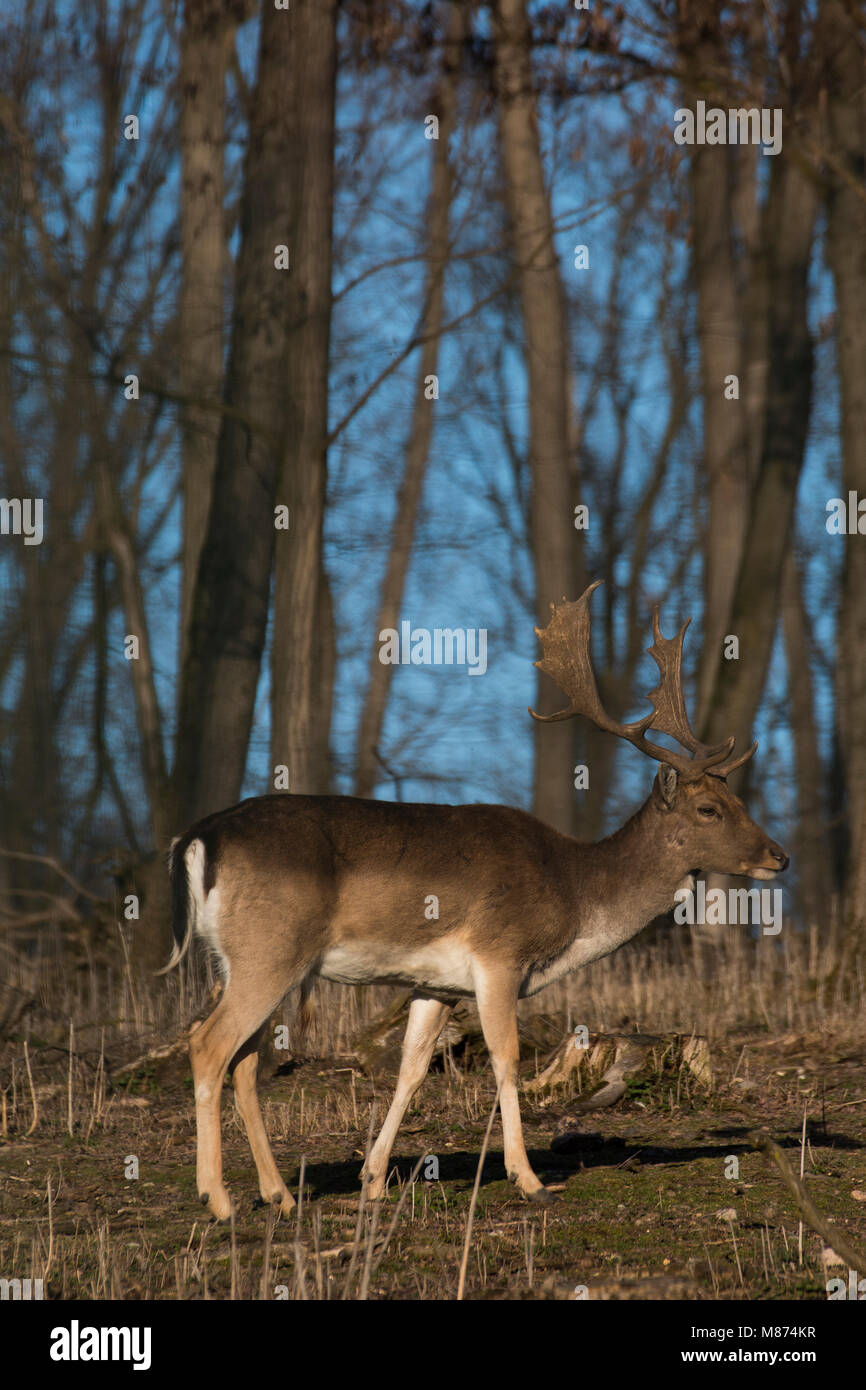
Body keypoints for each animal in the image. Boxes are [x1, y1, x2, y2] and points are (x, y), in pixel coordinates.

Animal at [162, 580, 788, 1219]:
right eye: (708, 809)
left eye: (737, 800)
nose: (778, 856)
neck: (573, 893)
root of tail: (197, 837)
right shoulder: (499, 953)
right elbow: (506, 1061)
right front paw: (528, 1178)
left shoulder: (434, 983)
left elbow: (412, 1070)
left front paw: (374, 1180)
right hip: (270, 949)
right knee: (207, 1045)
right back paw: (219, 1199)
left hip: (238, 958)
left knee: (243, 1063)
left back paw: (282, 1195)